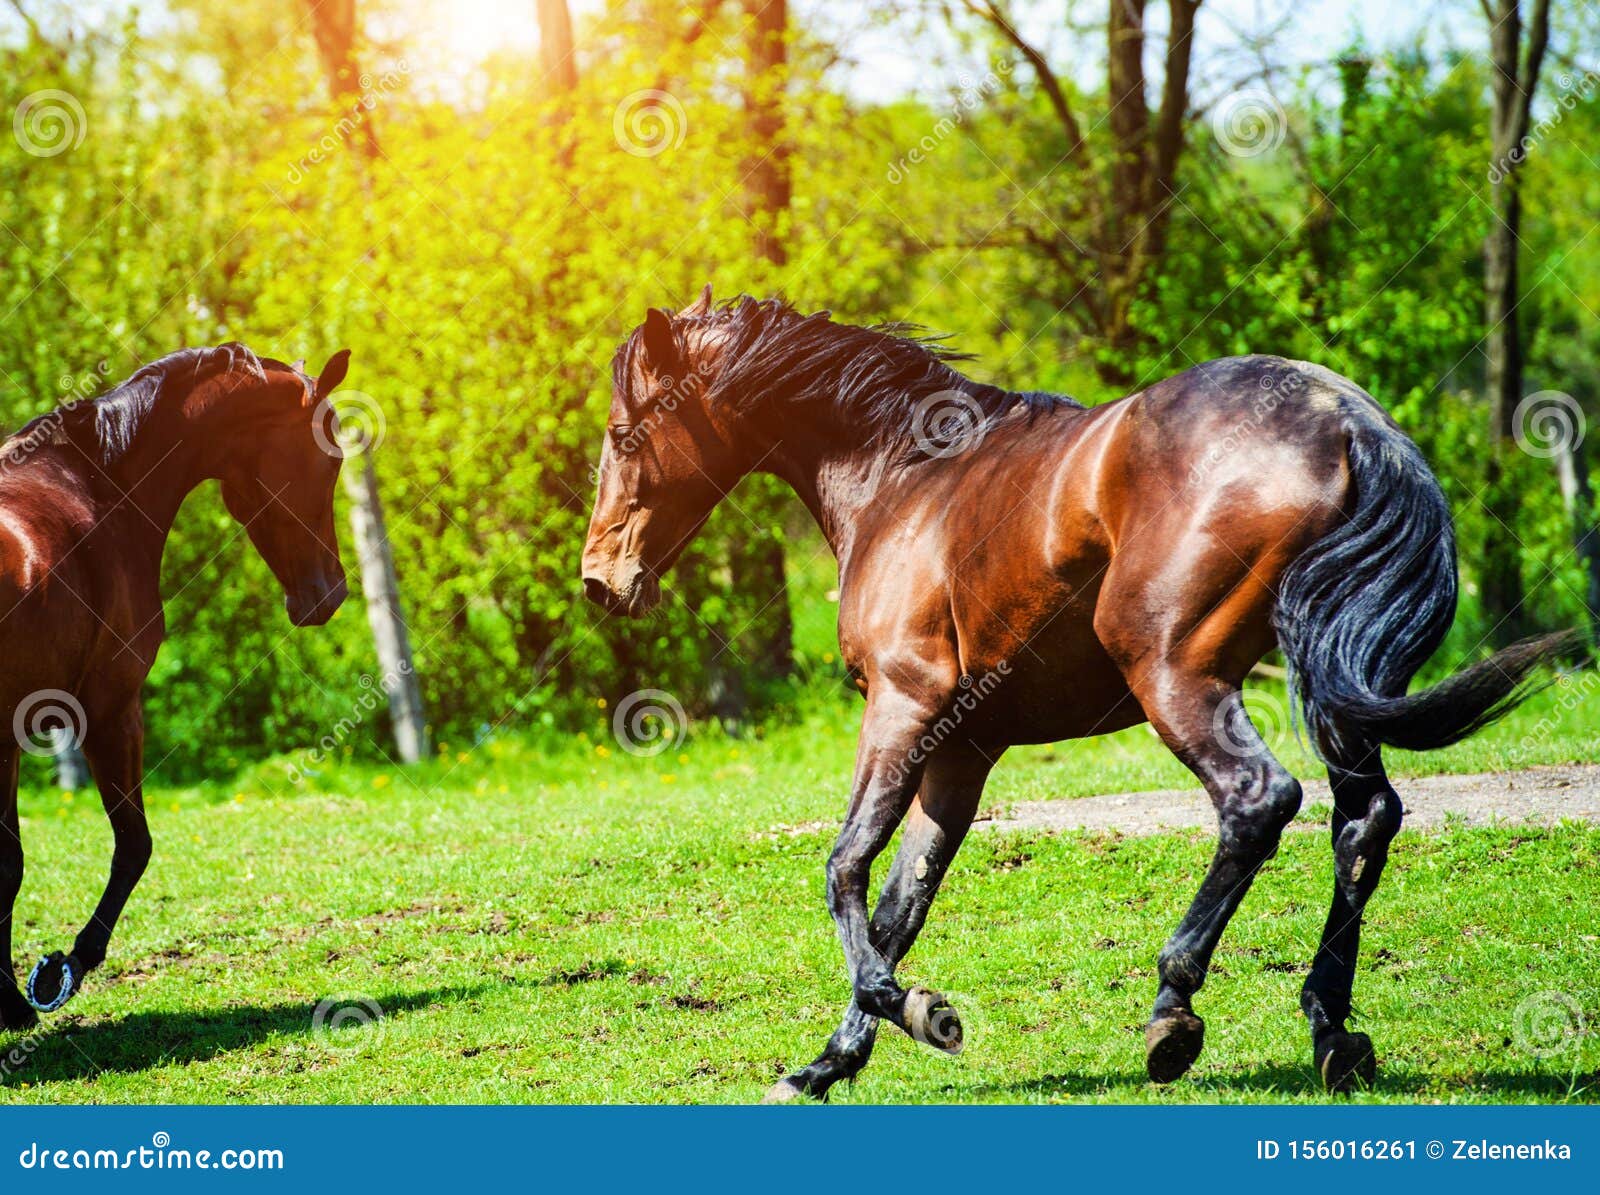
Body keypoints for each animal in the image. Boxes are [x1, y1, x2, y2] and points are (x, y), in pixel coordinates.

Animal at [0, 343, 352, 1032]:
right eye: (334, 460)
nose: (333, 592)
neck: (96, 485)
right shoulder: (109, 710)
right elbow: (128, 846)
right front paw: (56, 973)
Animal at [581, 287, 1575, 1099]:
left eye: (625, 437)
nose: (598, 580)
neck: (904, 478)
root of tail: (1346, 422)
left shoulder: (901, 708)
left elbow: (845, 868)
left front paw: (917, 1012)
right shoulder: (961, 753)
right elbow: (901, 902)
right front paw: (832, 1060)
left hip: (1176, 674)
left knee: (1260, 801)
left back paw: (1173, 1008)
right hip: (1330, 684)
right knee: (1364, 819)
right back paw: (1331, 1030)